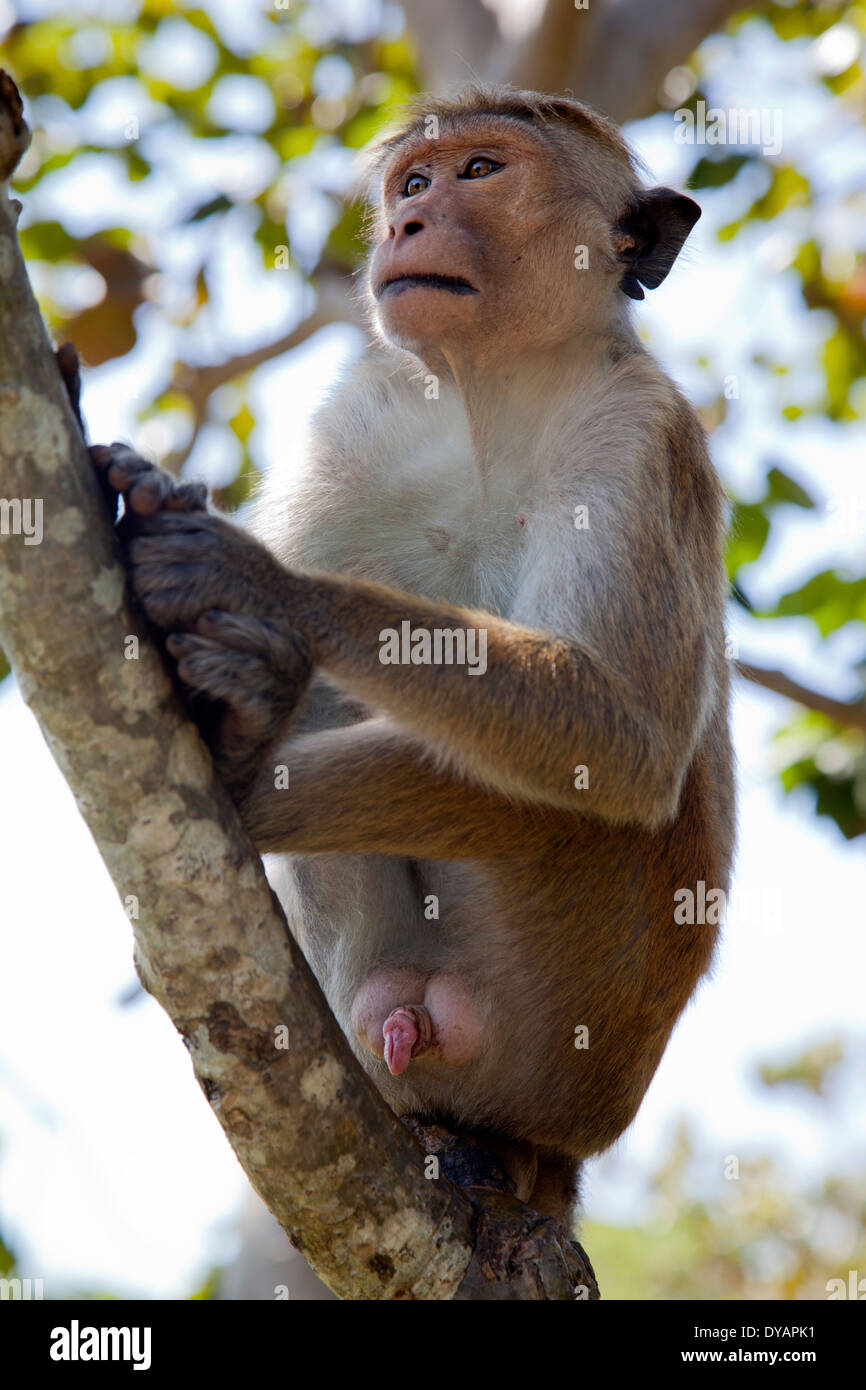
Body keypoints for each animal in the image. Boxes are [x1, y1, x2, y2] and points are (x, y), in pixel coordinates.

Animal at [83, 86, 735, 1226]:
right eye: (414, 182)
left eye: (481, 170)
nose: (409, 224)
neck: (491, 396)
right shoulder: (364, 420)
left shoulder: (640, 430)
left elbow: (628, 740)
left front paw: (261, 583)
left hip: (570, 1010)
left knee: (568, 795)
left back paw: (244, 769)